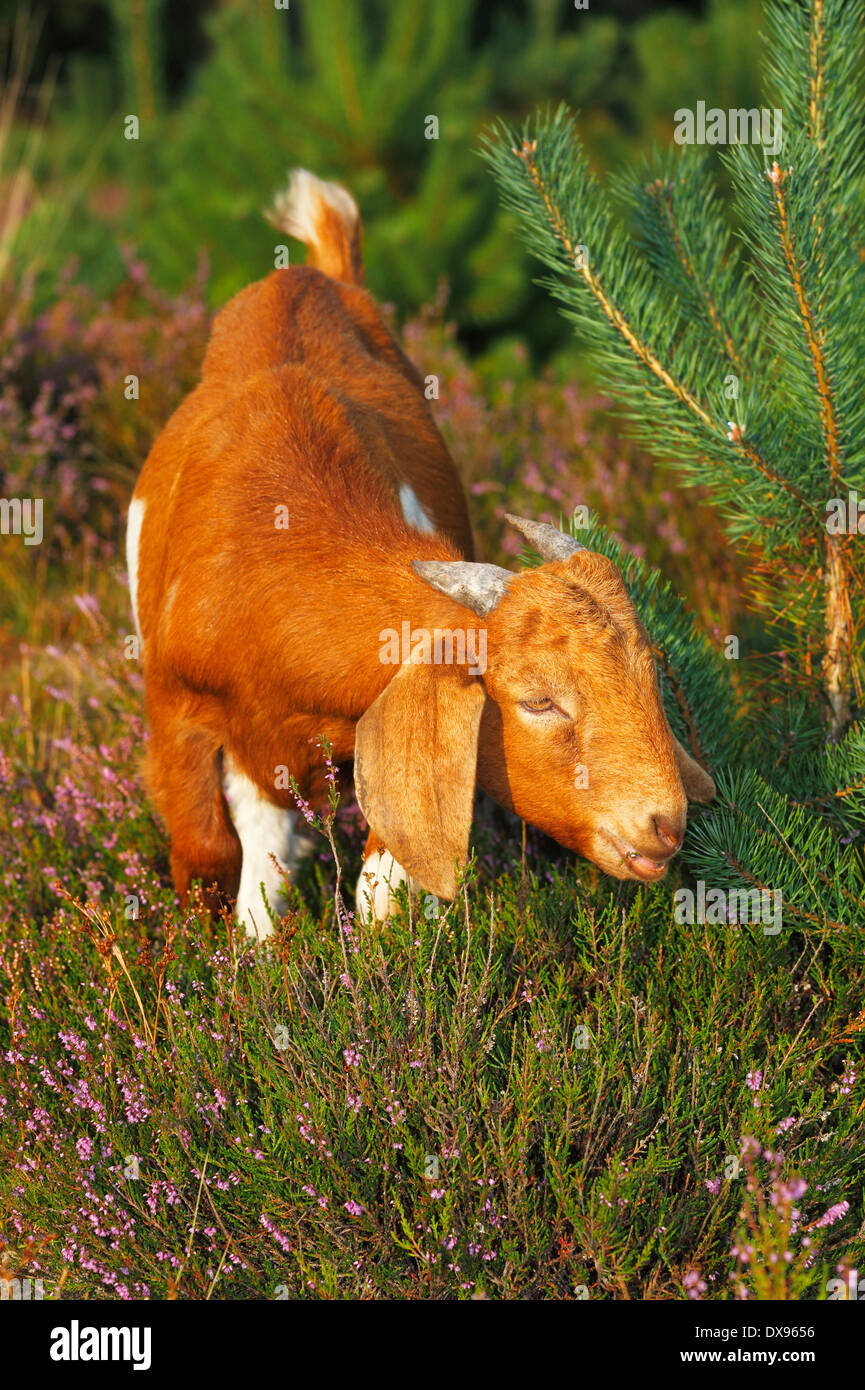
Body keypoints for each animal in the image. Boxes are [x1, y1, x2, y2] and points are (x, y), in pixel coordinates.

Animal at [127, 170, 715, 938]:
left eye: (651, 676)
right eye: (538, 701)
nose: (664, 824)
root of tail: (317, 273)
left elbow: (382, 884)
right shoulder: (178, 706)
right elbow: (211, 855)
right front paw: (241, 954)